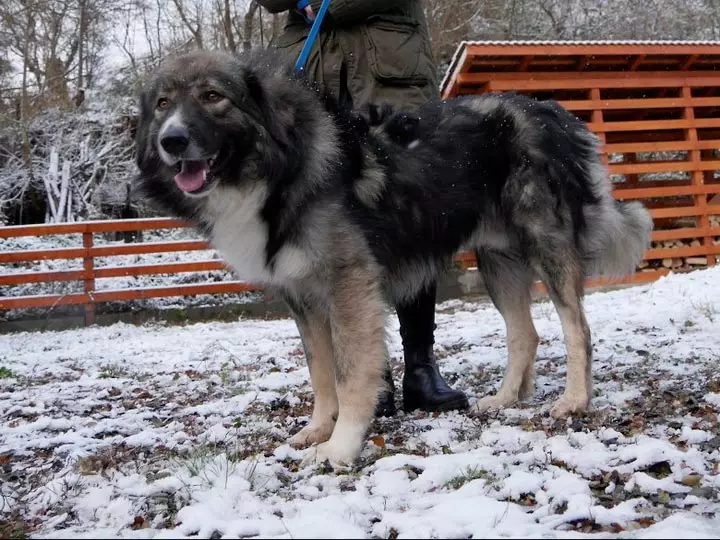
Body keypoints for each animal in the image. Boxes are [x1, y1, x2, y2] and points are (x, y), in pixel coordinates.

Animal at [134, 48, 652, 466]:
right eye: (162, 105)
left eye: (212, 96)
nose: (171, 141)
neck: (282, 164)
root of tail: (554, 111)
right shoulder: (301, 295)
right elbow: (321, 373)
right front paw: (318, 430)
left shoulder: (348, 286)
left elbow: (349, 374)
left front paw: (341, 446)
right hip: (497, 262)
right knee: (525, 333)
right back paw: (504, 399)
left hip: (547, 246)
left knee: (577, 329)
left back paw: (574, 400)